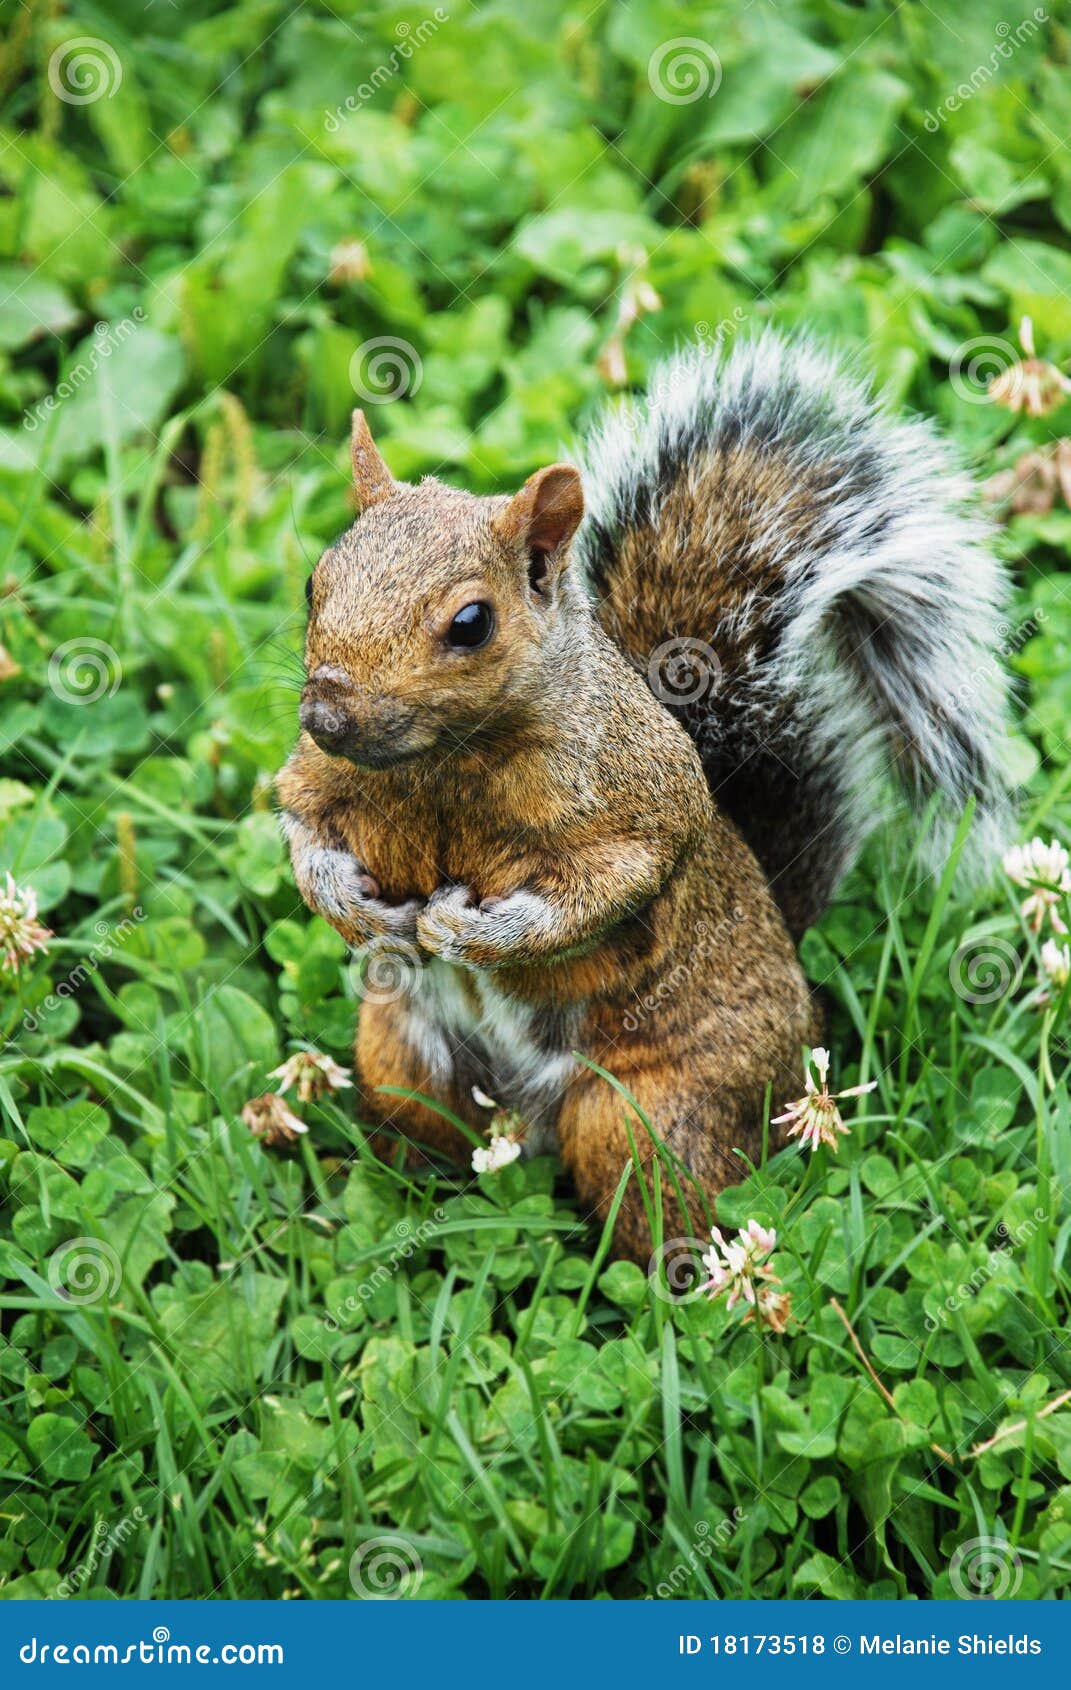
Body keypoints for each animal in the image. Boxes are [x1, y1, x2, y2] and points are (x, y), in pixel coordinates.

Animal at [276, 331, 1009, 1263]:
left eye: (471, 623)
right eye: (314, 582)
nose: (326, 713)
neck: (442, 767)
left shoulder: (638, 812)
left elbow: (597, 893)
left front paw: (470, 933)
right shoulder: (313, 777)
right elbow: (303, 829)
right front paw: (354, 906)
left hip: (649, 1114)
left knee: (667, 1196)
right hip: (404, 1060)